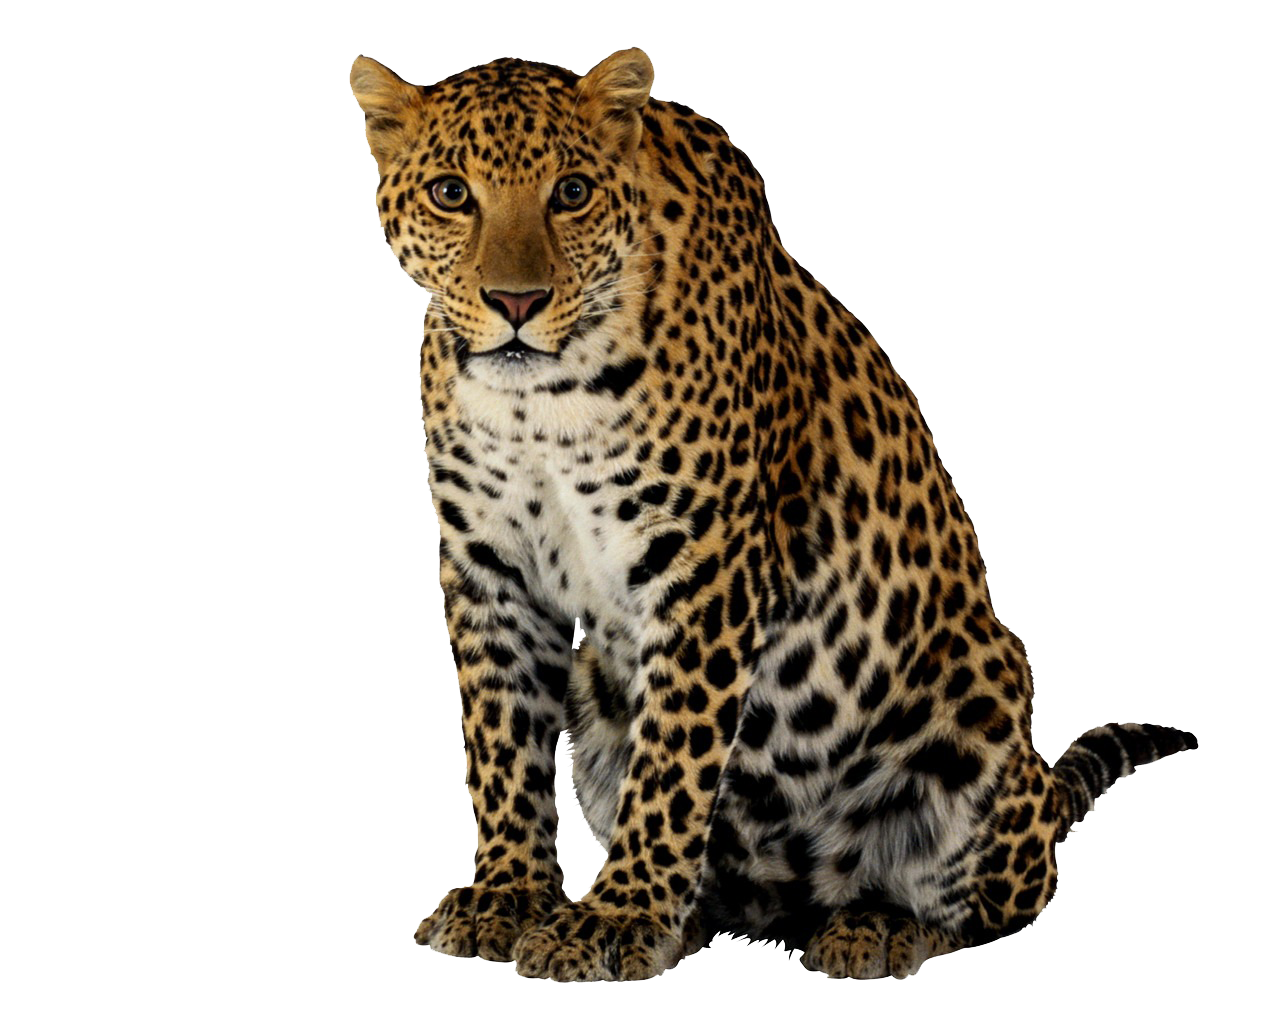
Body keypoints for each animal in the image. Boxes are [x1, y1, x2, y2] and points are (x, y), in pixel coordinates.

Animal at [349, 47, 1197, 982]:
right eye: (451, 193)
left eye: (570, 192)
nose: (516, 302)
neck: (540, 400)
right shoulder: (488, 563)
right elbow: (500, 739)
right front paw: (509, 896)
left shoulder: (704, 560)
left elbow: (674, 759)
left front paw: (615, 916)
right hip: (597, 698)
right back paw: (697, 918)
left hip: (982, 703)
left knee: (1002, 902)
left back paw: (876, 925)